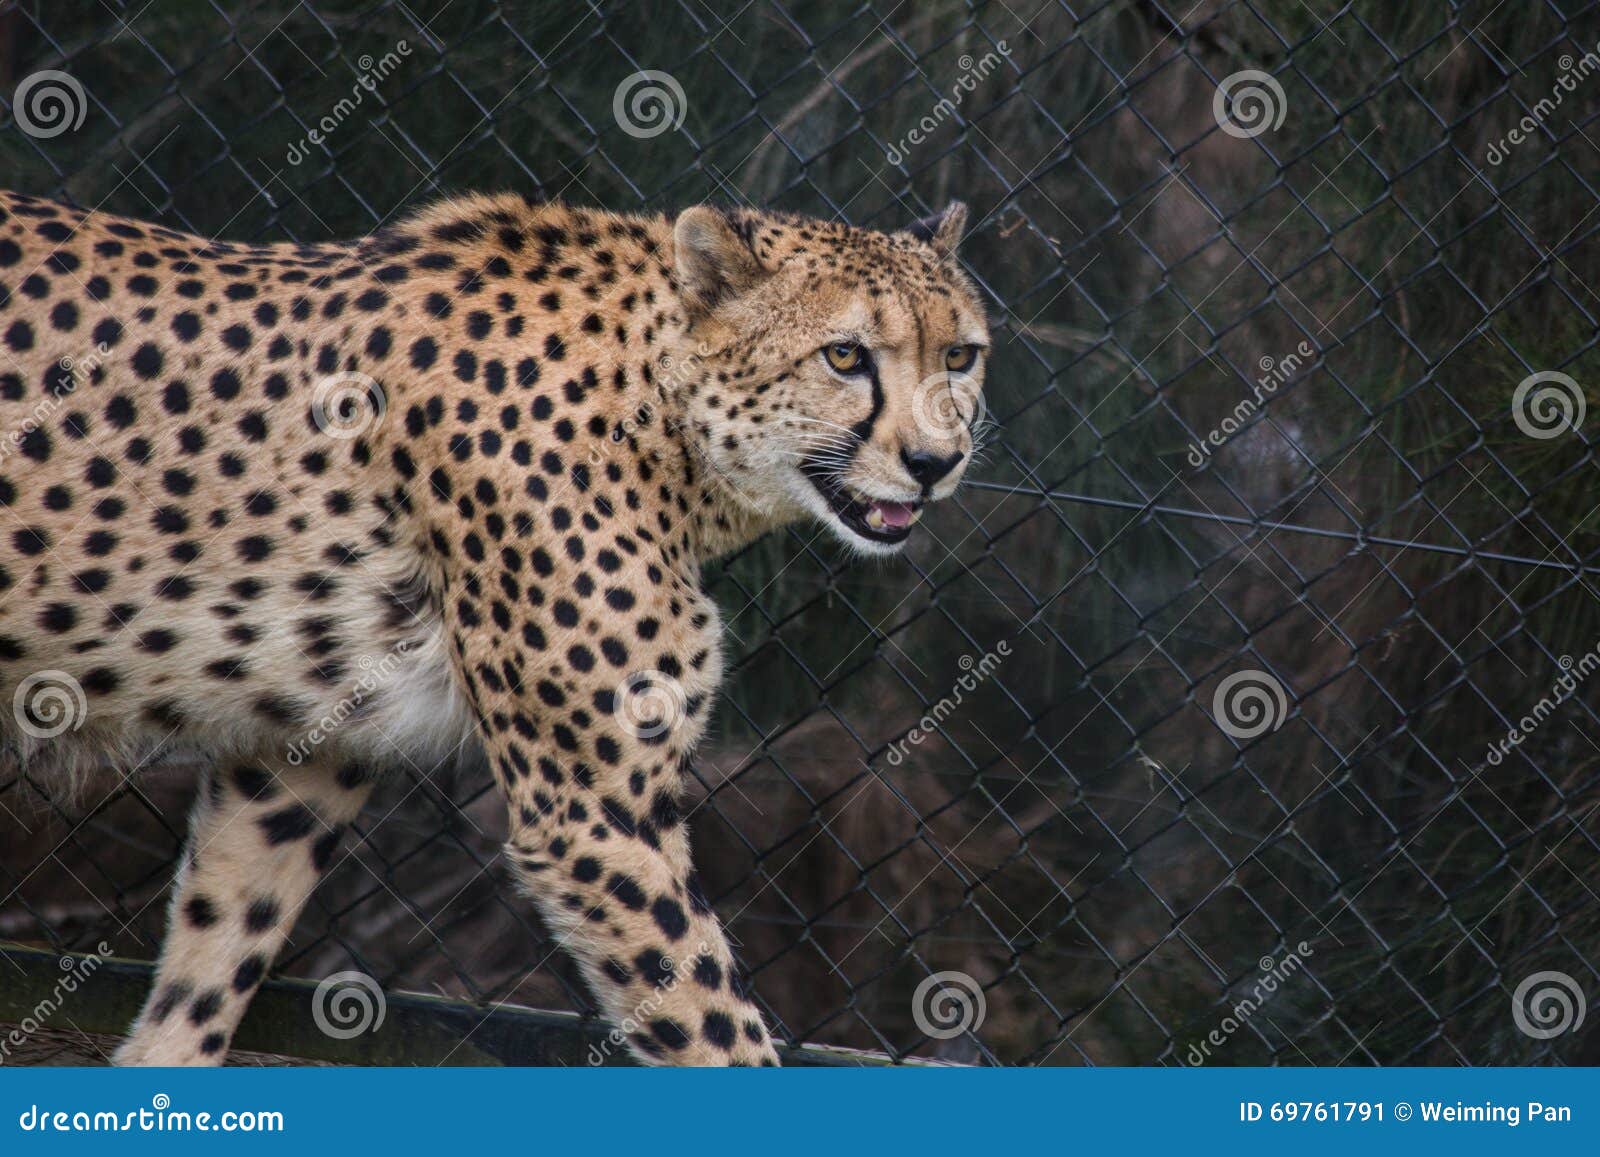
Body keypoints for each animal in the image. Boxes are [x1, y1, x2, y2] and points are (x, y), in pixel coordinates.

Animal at [0, 185, 988, 1066]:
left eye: (961, 355)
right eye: (846, 355)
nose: (936, 461)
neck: (663, 417)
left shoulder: (299, 754)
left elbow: (214, 955)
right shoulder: (593, 811)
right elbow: (714, 1022)